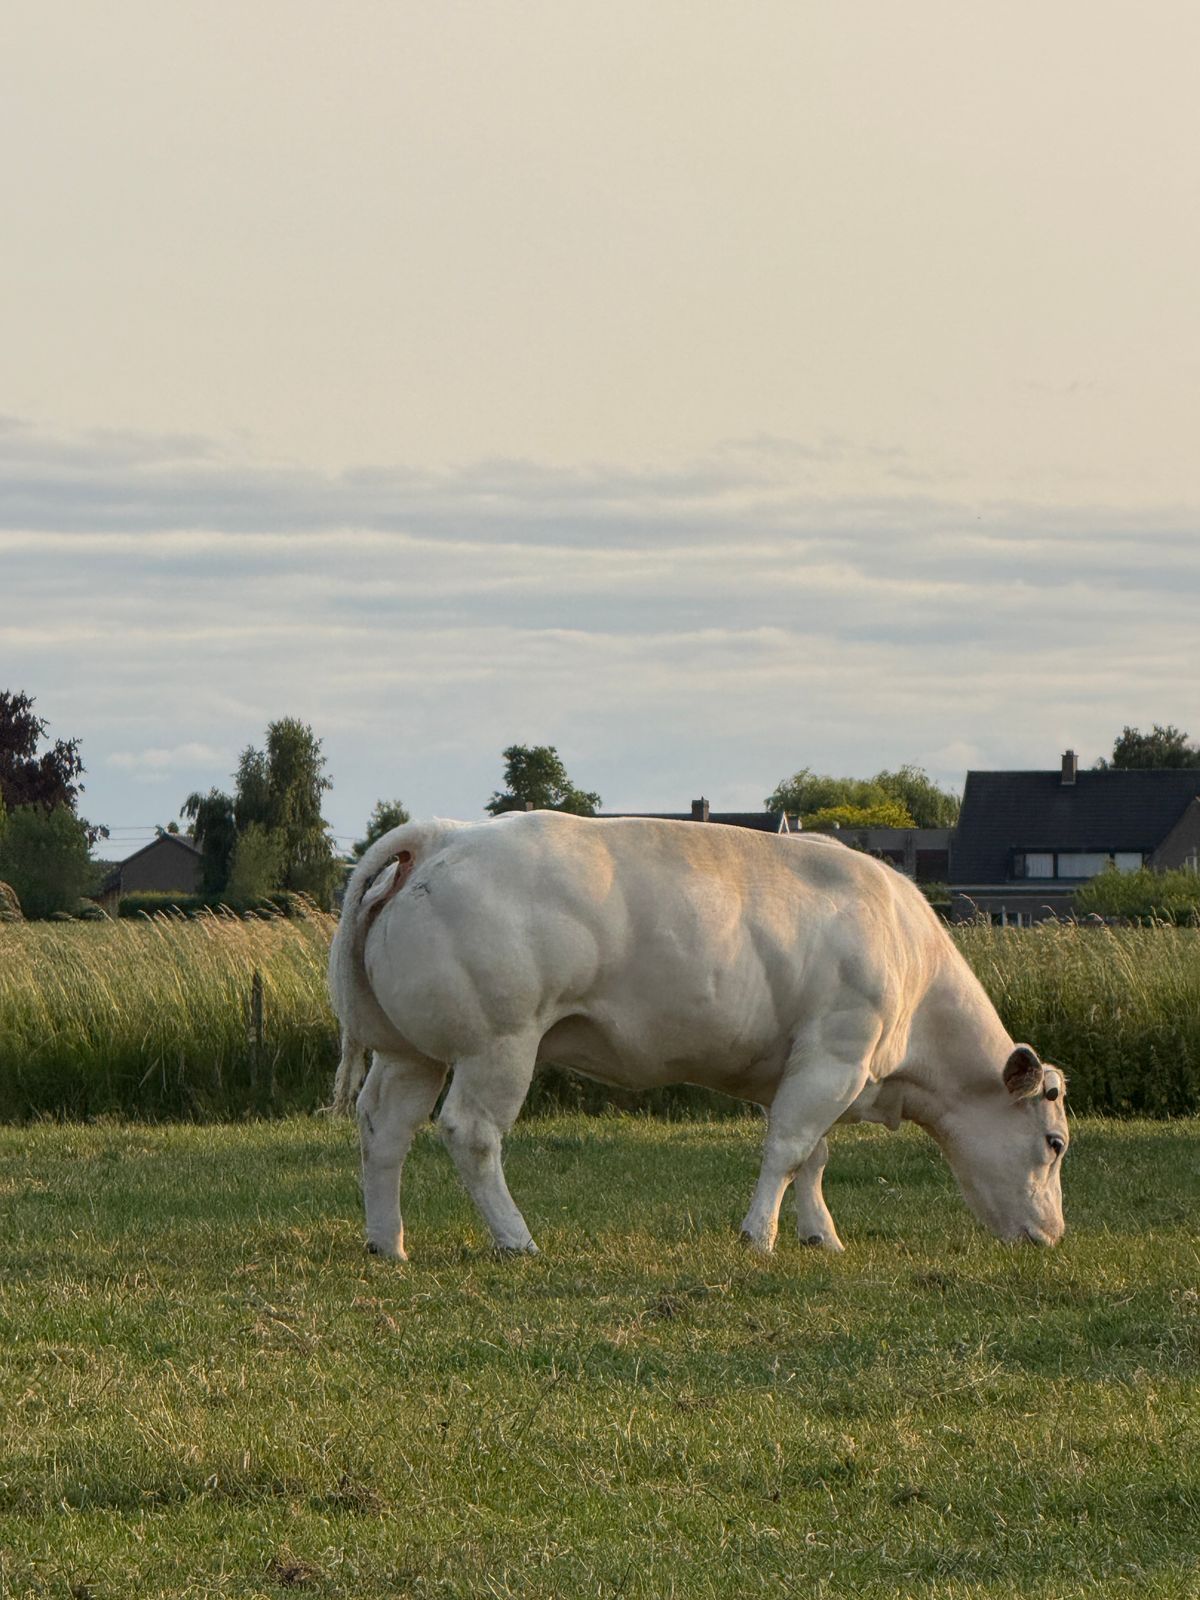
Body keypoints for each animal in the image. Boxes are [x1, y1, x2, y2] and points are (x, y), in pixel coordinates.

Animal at [329, 811, 1068, 1260]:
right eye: (1054, 1142)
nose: (1053, 1235)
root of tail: (445, 834)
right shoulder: (835, 1057)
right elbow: (788, 1150)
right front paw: (758, 1236)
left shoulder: (808, 1069)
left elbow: (814, 1157)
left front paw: (819, 1235)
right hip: (498, 1044)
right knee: (473, 1134)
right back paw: (515, 1239)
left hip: (410, 1053)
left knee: (384, 1130)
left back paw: (387, 1242)